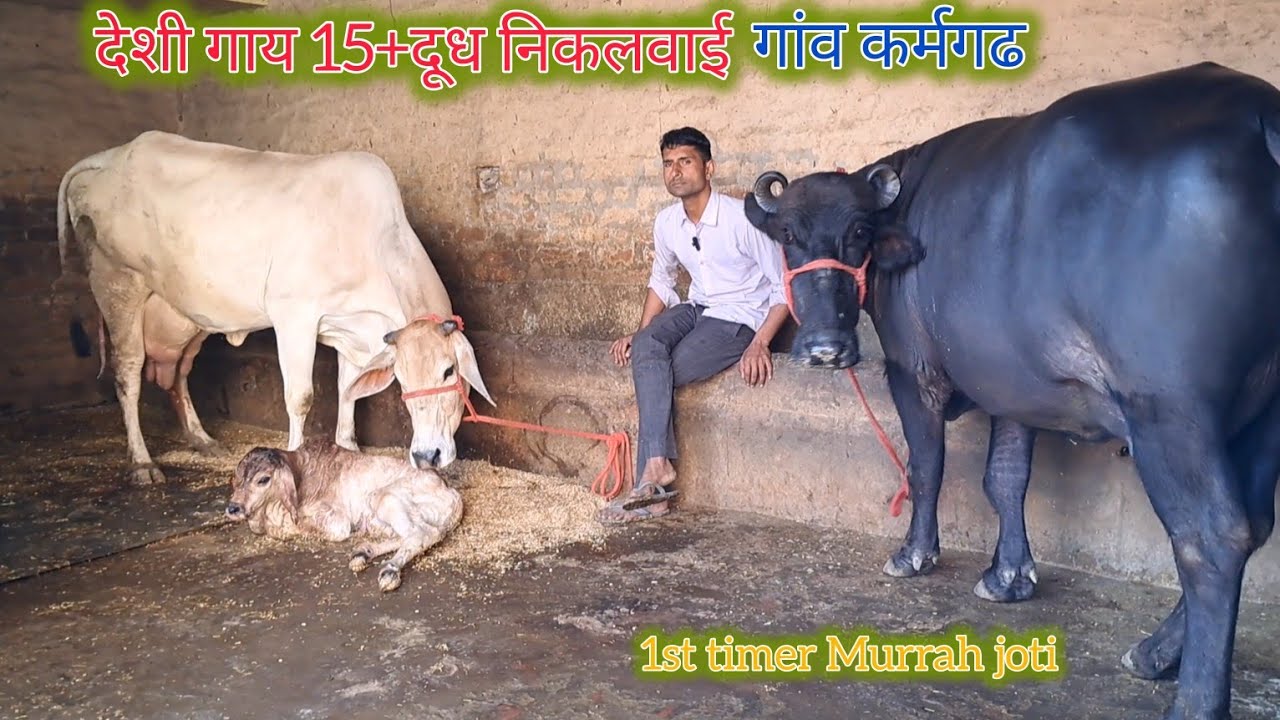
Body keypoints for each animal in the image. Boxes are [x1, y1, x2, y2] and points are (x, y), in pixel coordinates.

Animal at [56, 130, 494, 485]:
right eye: (402, 378)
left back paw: (201, 438)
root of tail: (110, 155)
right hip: (117, 283)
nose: (427, 455)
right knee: (127, 373)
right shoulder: (294, 316)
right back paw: (143, 463)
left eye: (448, 371)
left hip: (185, 314)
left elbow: (348, 393)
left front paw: (348, 449)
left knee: (178, 373)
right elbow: (300, 396)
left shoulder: (351, 331)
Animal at [225, 437, 463, 592]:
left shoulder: (337, 522)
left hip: (383, 497)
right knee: (412, 535)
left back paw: (390, 570)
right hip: (376, 519)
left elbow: (301, 527)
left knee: (421, 534)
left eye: (263, 479)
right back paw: (364, 552)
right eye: (237, 478)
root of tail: (451, 492)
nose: (233, 508)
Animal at [743, 62, 1280, 720]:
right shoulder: (1013, 388)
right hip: (1264, 414)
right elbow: (1004, 478)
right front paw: (1008, 577)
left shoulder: (910, 370)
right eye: (786, 234)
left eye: (860, 230)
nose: (823, 349)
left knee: (1211, 538)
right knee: (1252, 525)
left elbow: (926, 466)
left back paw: (1192, 696)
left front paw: (913, 554)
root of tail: (1259, 118)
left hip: (1172, 414)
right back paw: (1155, 653)